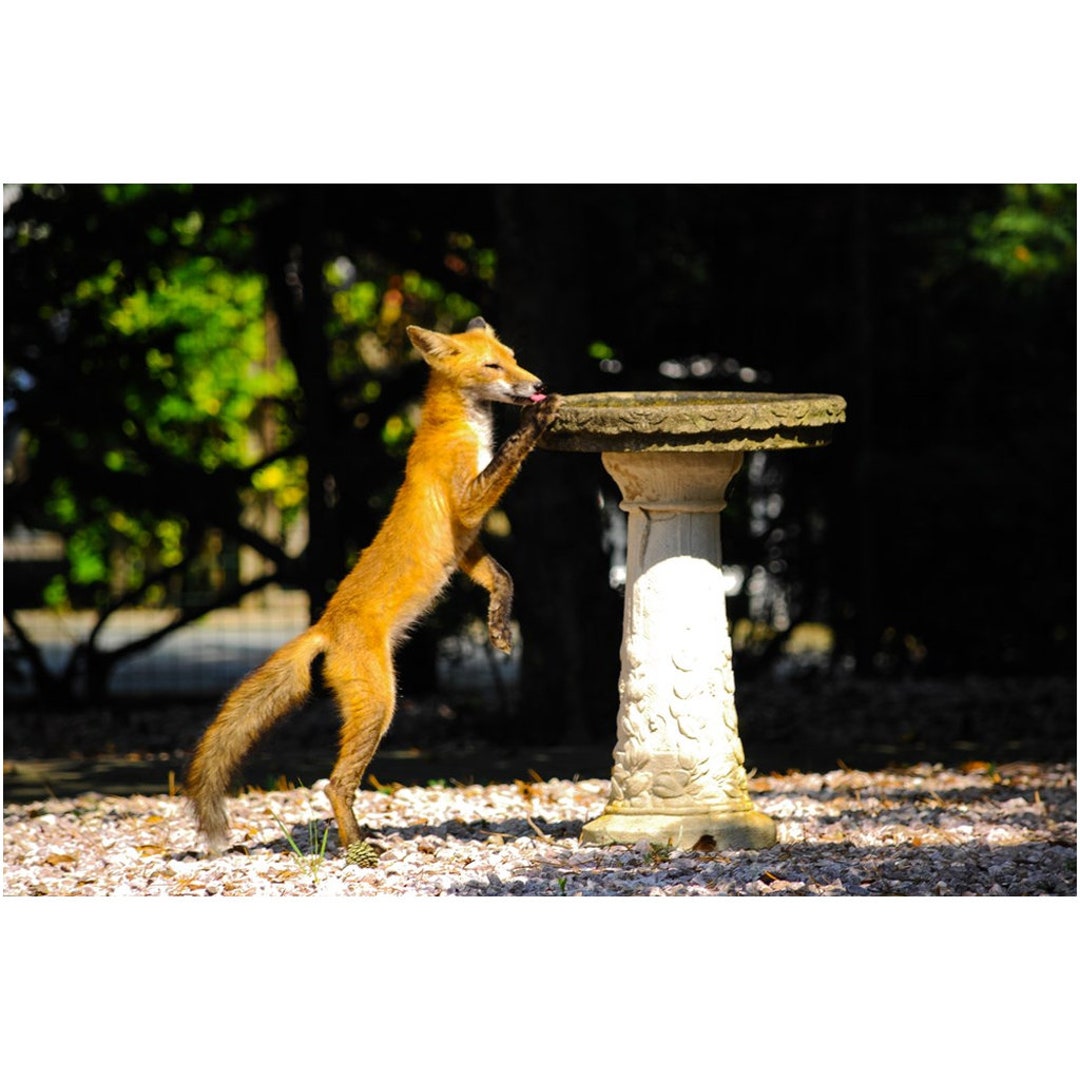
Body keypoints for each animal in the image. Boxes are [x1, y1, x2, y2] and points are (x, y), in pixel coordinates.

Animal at [186, 317, 561, 865]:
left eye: (513, 357)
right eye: (493, 366)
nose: (536, 384)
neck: (459, 427)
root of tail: (322, 626)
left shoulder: (465, 542)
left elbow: (502, 578)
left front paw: (499, 626)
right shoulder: (466, 503)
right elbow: (508, 457)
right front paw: (537, 420)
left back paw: (359, 841)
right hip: (381, 704)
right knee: (334, 783)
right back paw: (357, 851)